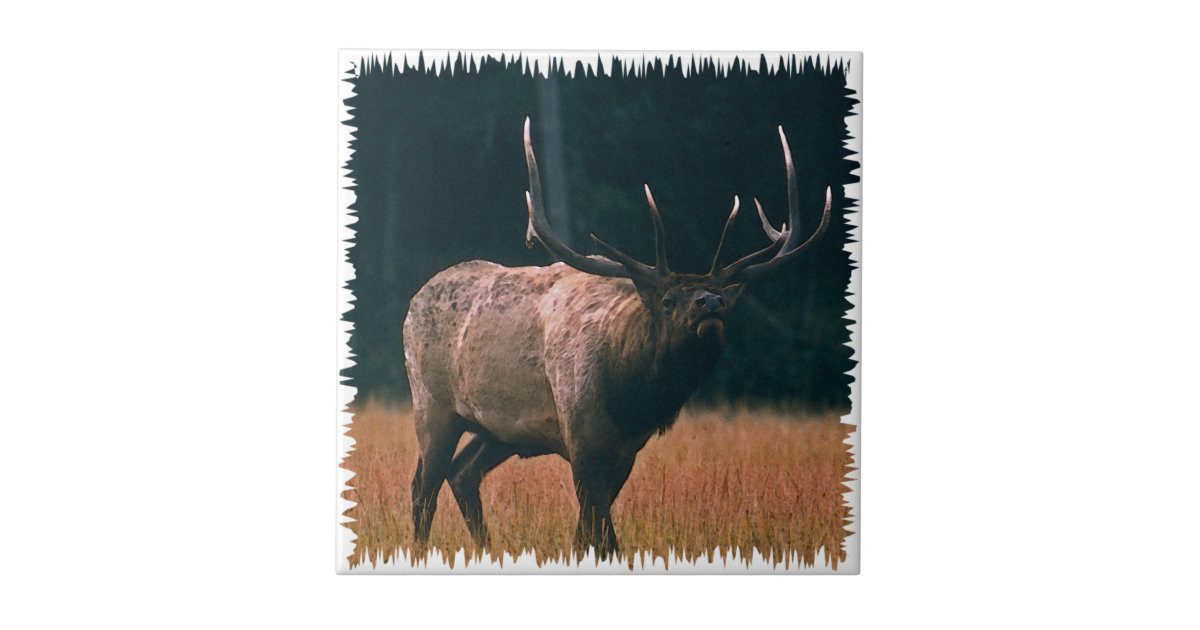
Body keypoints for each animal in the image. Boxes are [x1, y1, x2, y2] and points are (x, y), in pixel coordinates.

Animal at [401, 117, 831, 559]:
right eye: (668, 300)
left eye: (725, 301)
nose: (710, 303)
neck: (630, 398)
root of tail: (414, 301)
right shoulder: (581, 438)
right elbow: (600, 530)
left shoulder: (626, 451)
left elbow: (592, 532)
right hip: (431, 404)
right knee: (423, 487)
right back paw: (419, 549)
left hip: (497, 431)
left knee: (462, 474)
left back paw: (487, 547)